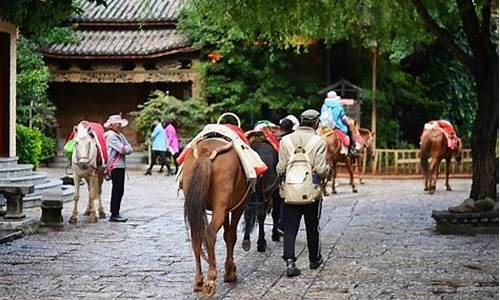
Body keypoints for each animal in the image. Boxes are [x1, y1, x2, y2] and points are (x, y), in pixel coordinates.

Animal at [181, 138, 249, 296]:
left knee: (196, 236)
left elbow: (227, 236)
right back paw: (211, 279)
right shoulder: (238, 207)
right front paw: (230, 272)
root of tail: (206, 152)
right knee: (210, 233)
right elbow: (231, 236)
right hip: (221, 205)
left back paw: (199, 280)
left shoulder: (225, 210)